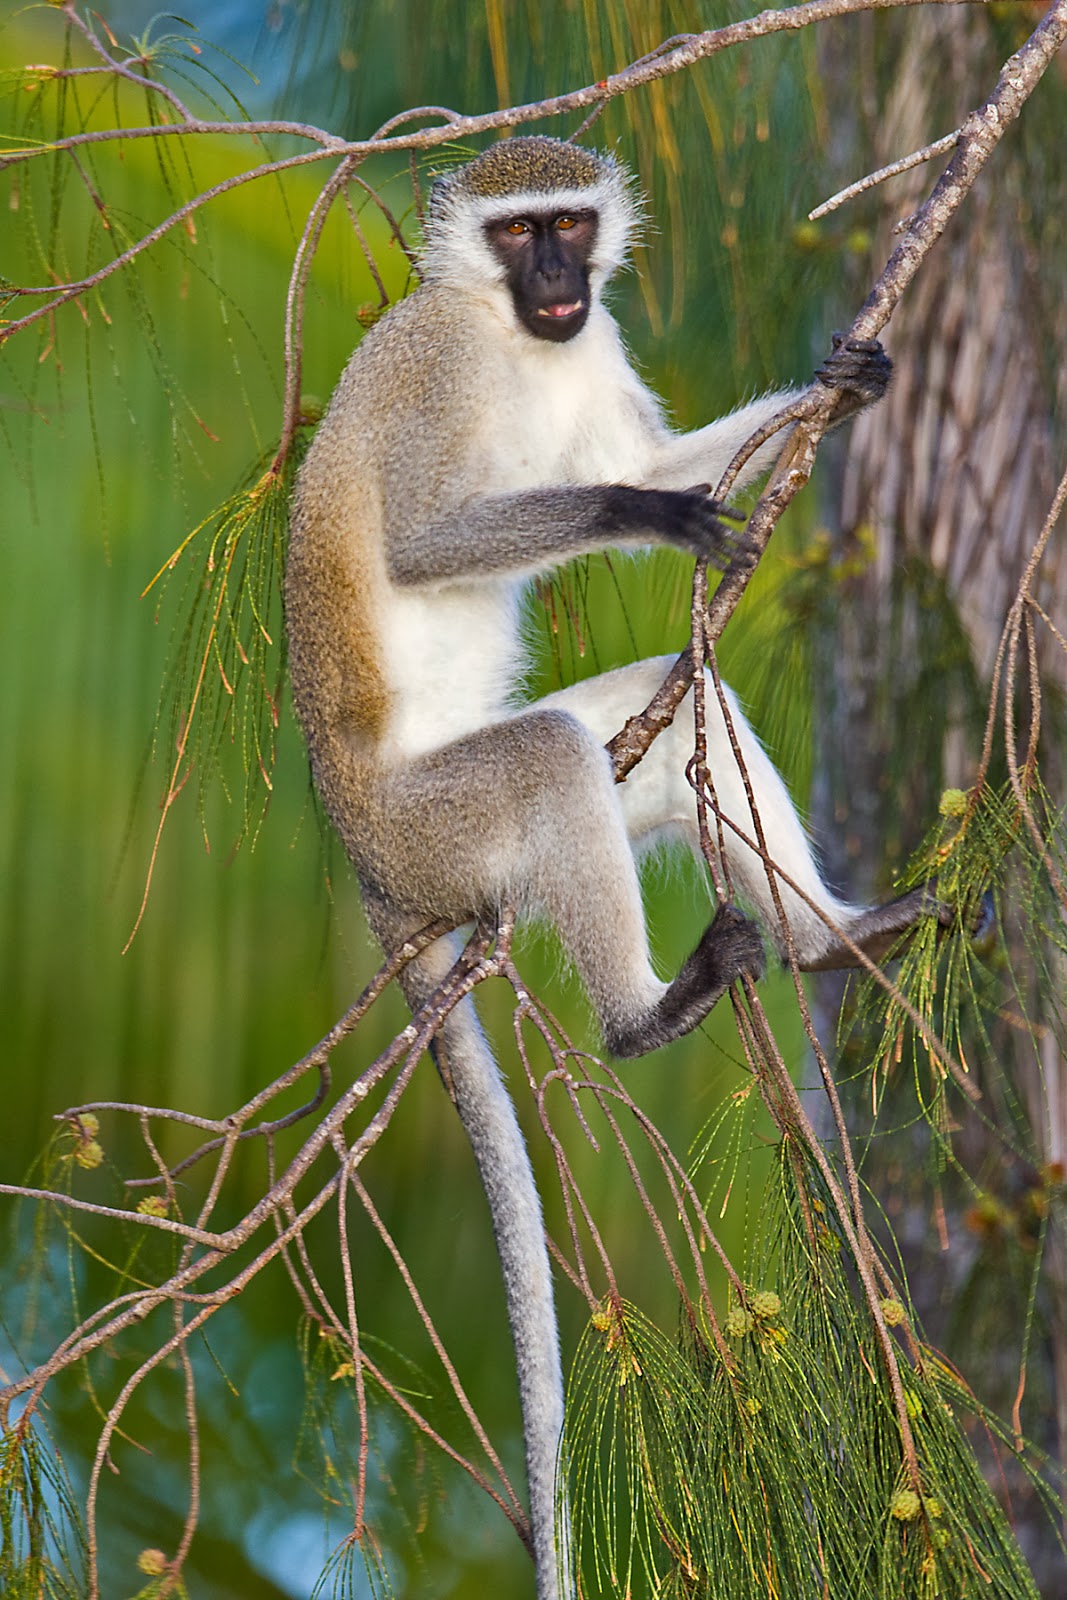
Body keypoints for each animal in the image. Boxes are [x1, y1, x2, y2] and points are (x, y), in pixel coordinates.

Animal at [285, 135, 946, 1600]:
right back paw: (649, 1012)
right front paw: (639, 508)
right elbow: (422, 535)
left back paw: (828, 938)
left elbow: (672, 443)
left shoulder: (591, 349)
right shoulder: (438, 369)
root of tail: (367, 869)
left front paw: (842, 383)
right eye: (515, 231)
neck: (512, 341)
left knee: (665, 696)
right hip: (441, 822)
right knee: (541, 760)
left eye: (570, 228)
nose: (554, 279)